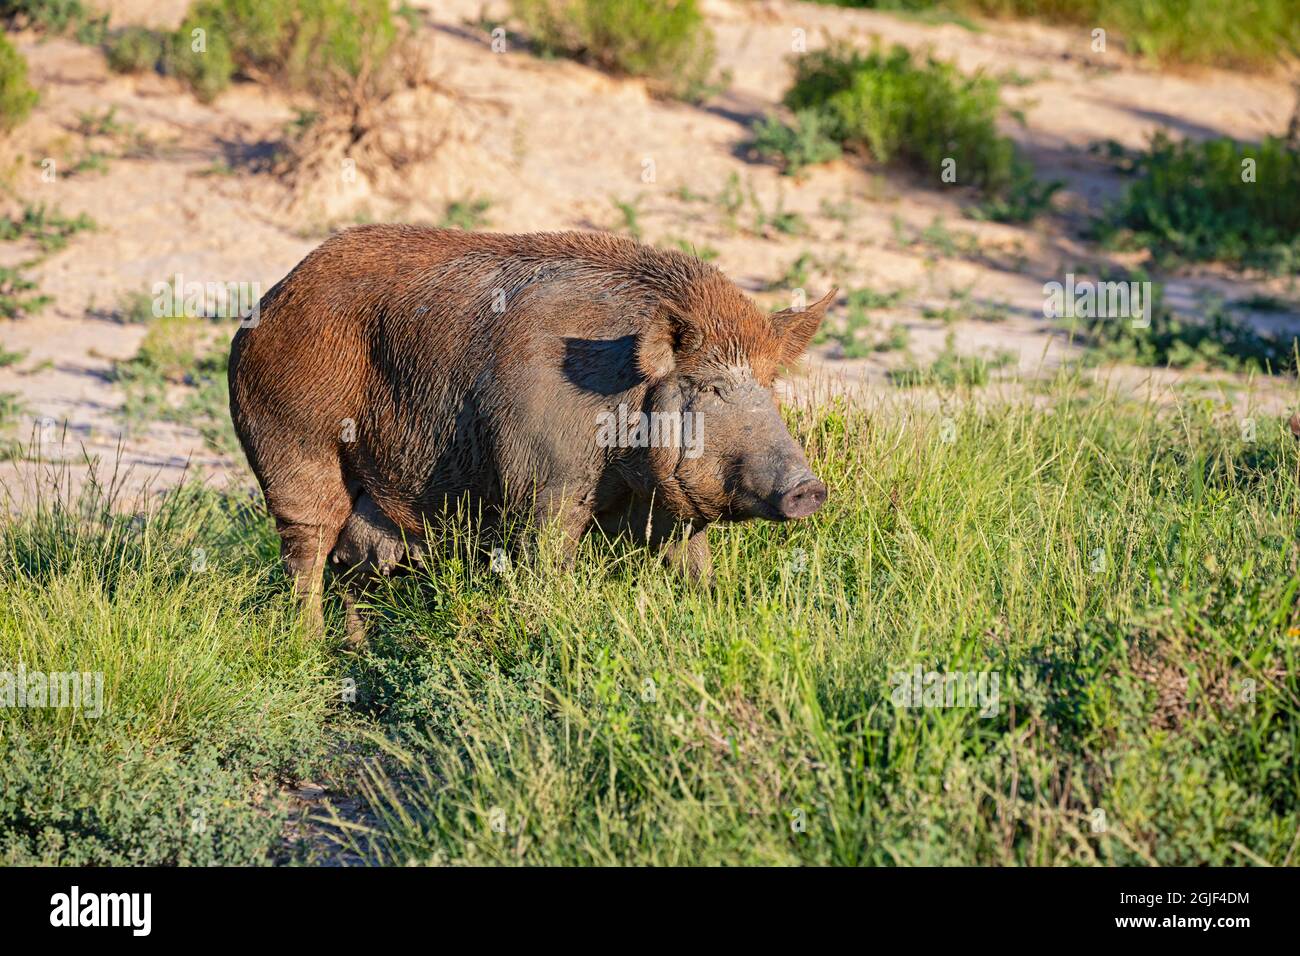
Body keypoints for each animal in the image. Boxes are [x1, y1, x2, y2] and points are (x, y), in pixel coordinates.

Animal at [228, 225, 832, 642]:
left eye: (770, 385)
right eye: (711, 387)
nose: (809, 488)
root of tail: (267, 303)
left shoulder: (663, 507)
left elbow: (693, 566)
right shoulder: (544, 482)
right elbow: (546, 558)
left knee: (353, 563)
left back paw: (356, 648)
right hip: (292, 440)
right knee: (307, 547)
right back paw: (311, 644)